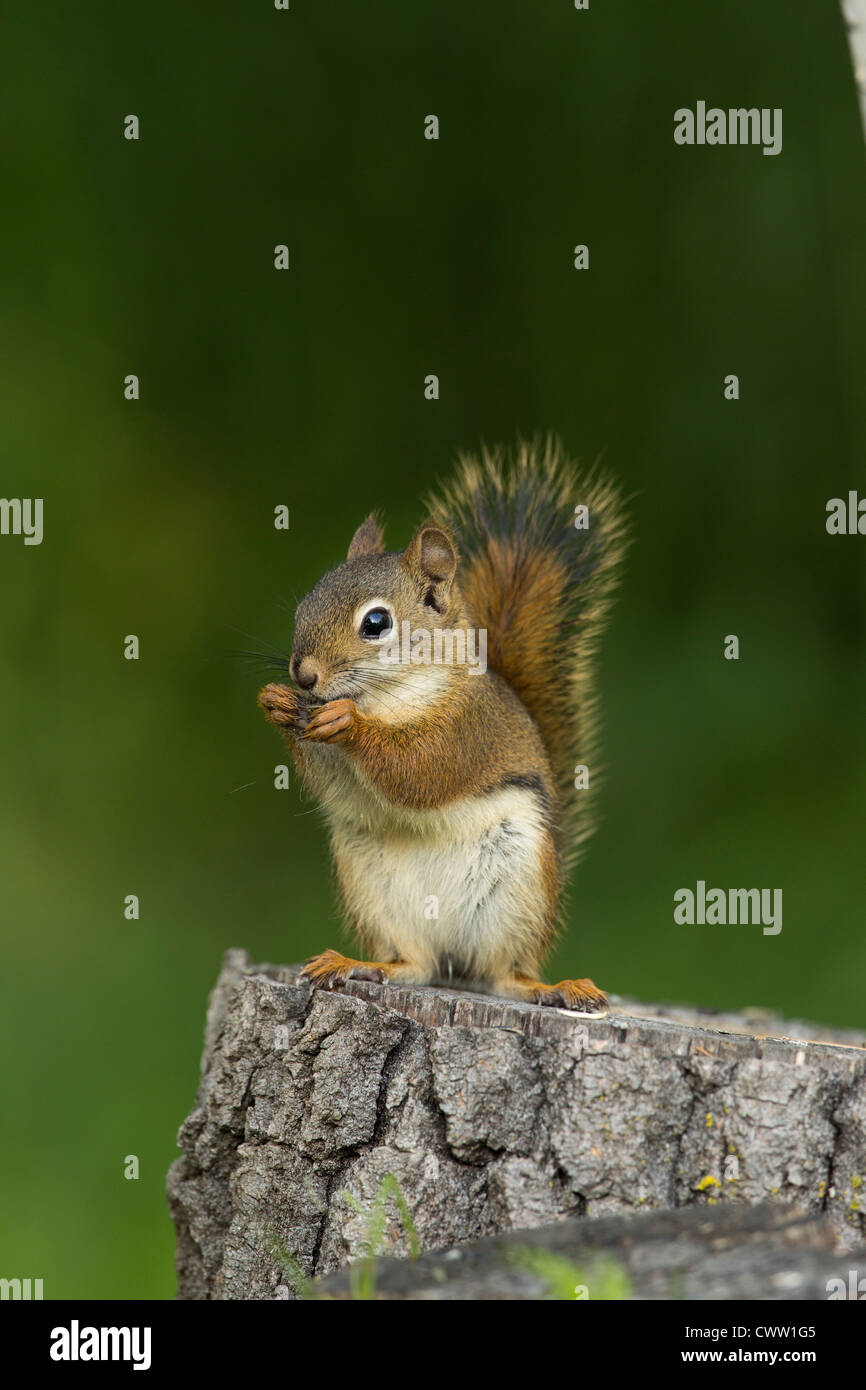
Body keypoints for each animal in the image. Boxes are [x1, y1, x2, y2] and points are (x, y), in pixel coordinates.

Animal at [258, 437, 626, 1014]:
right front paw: (276, 702)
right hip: (372, 889)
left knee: (505, 975)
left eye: (376, 622)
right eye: (303, 608)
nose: (304, 675)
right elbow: (331, 780)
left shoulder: (464, 731)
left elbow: (421, 771)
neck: (390, 699)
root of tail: (456, 962)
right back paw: (357, 964)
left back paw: (554, 987)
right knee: (414, 965)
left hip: (518, 890)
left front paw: (349, 724)